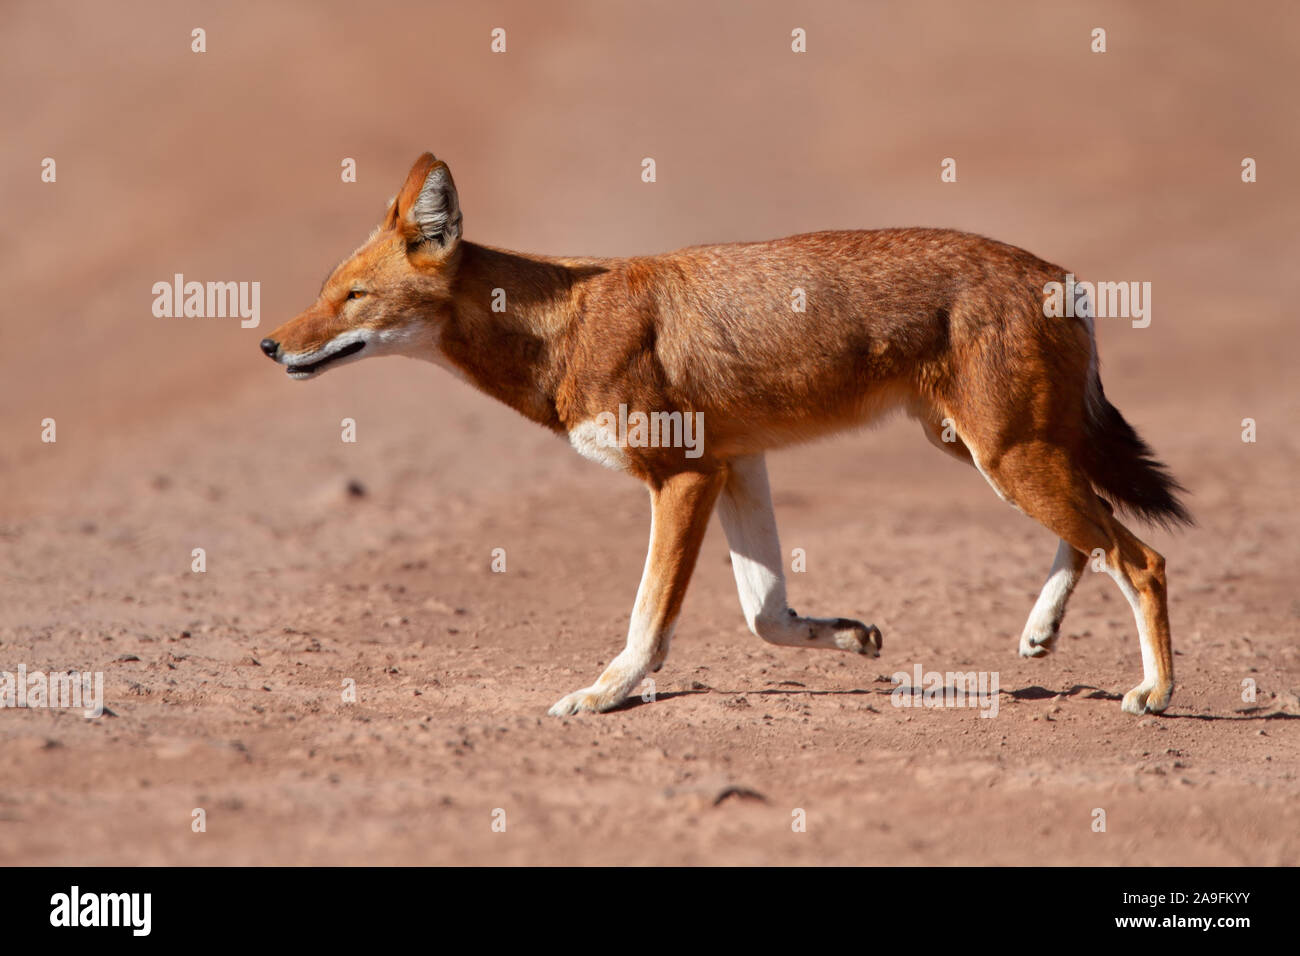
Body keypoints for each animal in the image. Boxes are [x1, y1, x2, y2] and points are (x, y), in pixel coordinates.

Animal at [262, 152, 1191, 718]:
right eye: (324, 290)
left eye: (351, 298)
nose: (270, 346)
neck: (563, 325)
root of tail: (1061, 276)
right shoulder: (740, 466)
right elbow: (765, 616)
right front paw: (847, 635)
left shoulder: (683, 479)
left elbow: (649, 618)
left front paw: (604, 694)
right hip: (985, 453)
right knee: (1098, 537)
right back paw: (1041, 630)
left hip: (1007, 458)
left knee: (1140, 557)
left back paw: (1155, 692)